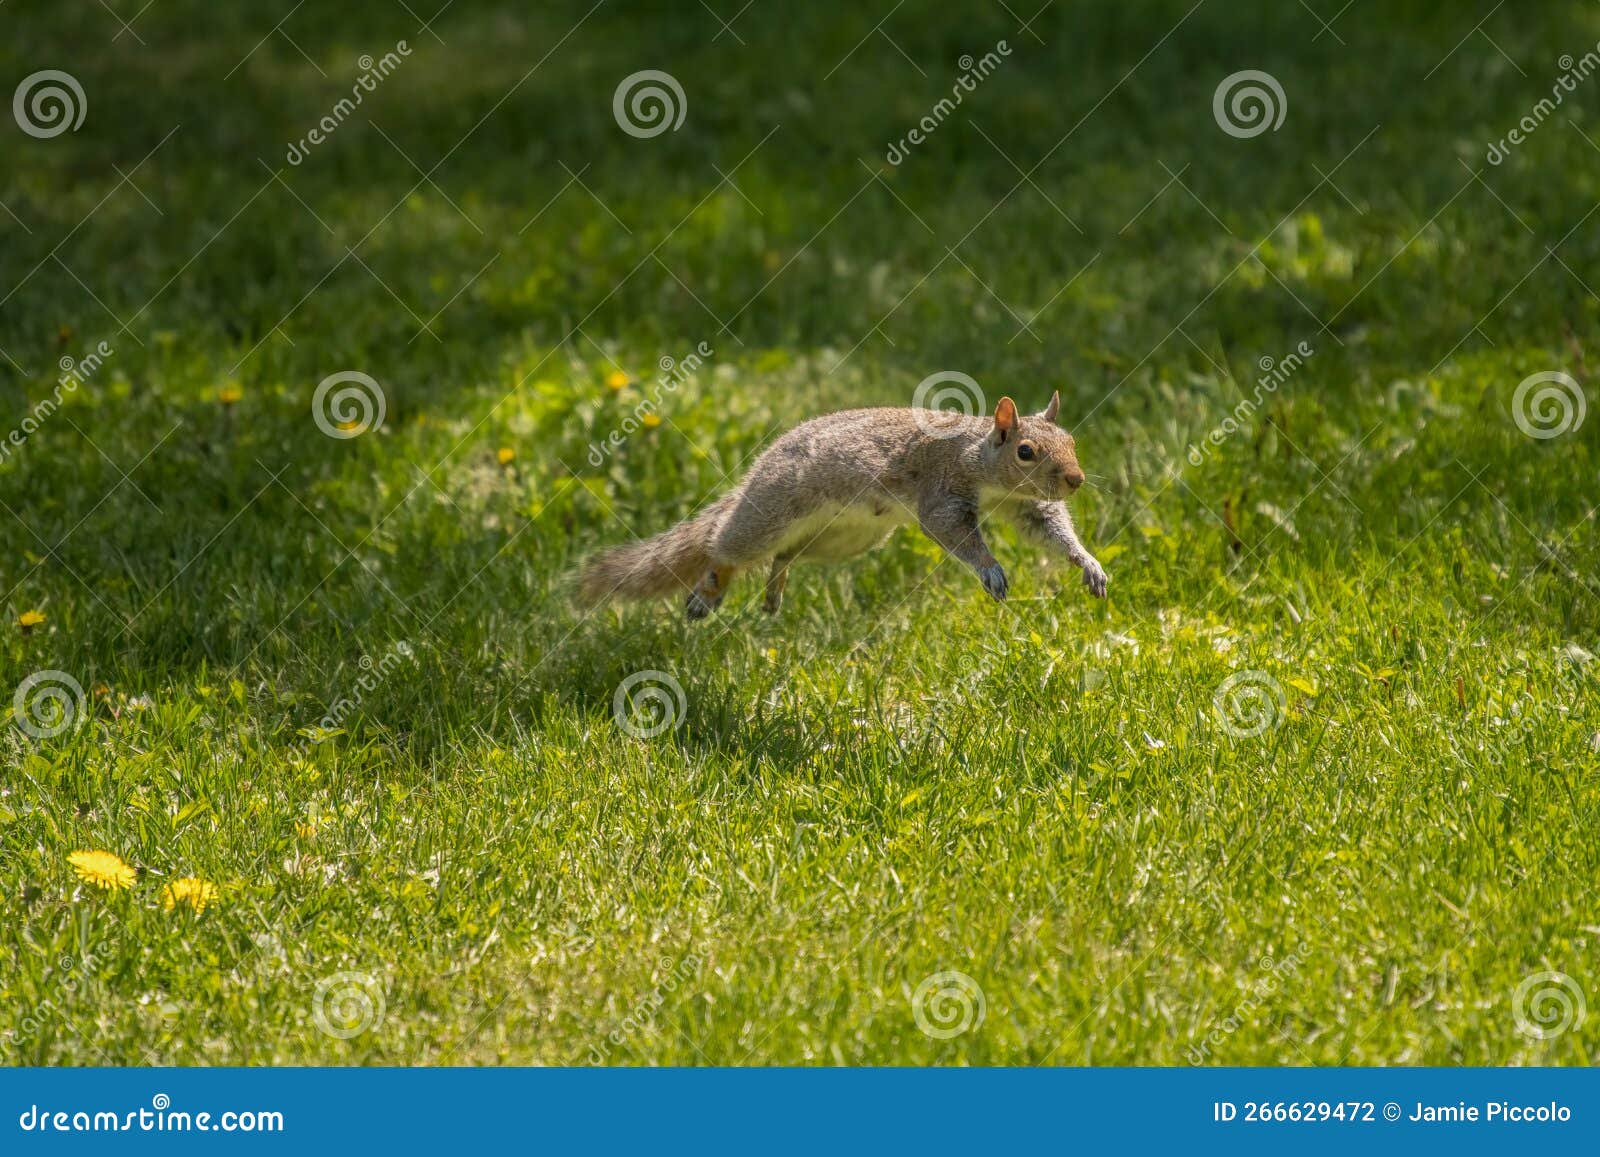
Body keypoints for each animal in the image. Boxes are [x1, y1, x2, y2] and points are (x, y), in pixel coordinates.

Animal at [577, 391, 1108, 619]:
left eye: (1071, 440)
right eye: (1026, 452)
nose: (1076, 480)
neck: (978, 454)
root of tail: (753, 475)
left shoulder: (1023, 504)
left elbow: (1048, 526)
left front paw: (1088, 563)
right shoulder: (943, 491)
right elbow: (952, 530)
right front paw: (990, 568)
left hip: (844, 538)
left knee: (784, 555)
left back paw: (774, 590)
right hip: (769, 513)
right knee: (723, 547)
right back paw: (708, 591)